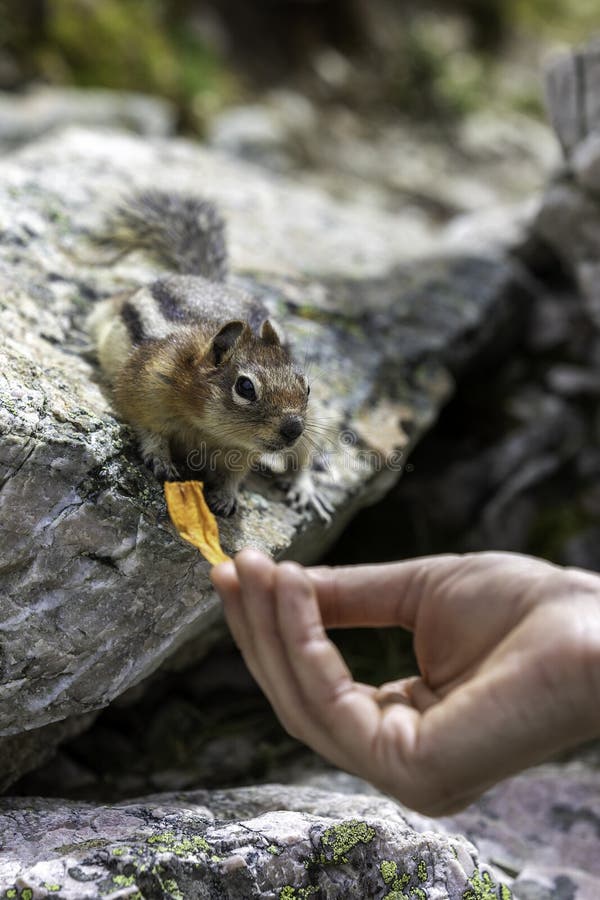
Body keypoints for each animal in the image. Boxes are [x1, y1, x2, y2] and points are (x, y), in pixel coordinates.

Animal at [88, 189, 333, 521]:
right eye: (245, 387)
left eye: (306, 387)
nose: (294, 428)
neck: (207, 430)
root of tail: (210, 281)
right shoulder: (143, 388)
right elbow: (148, 428)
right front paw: (160, 458)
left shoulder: (244, 450)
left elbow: (236, 474)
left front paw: (227, 496)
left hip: (314, 419)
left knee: (304, 456)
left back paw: (305, 490)